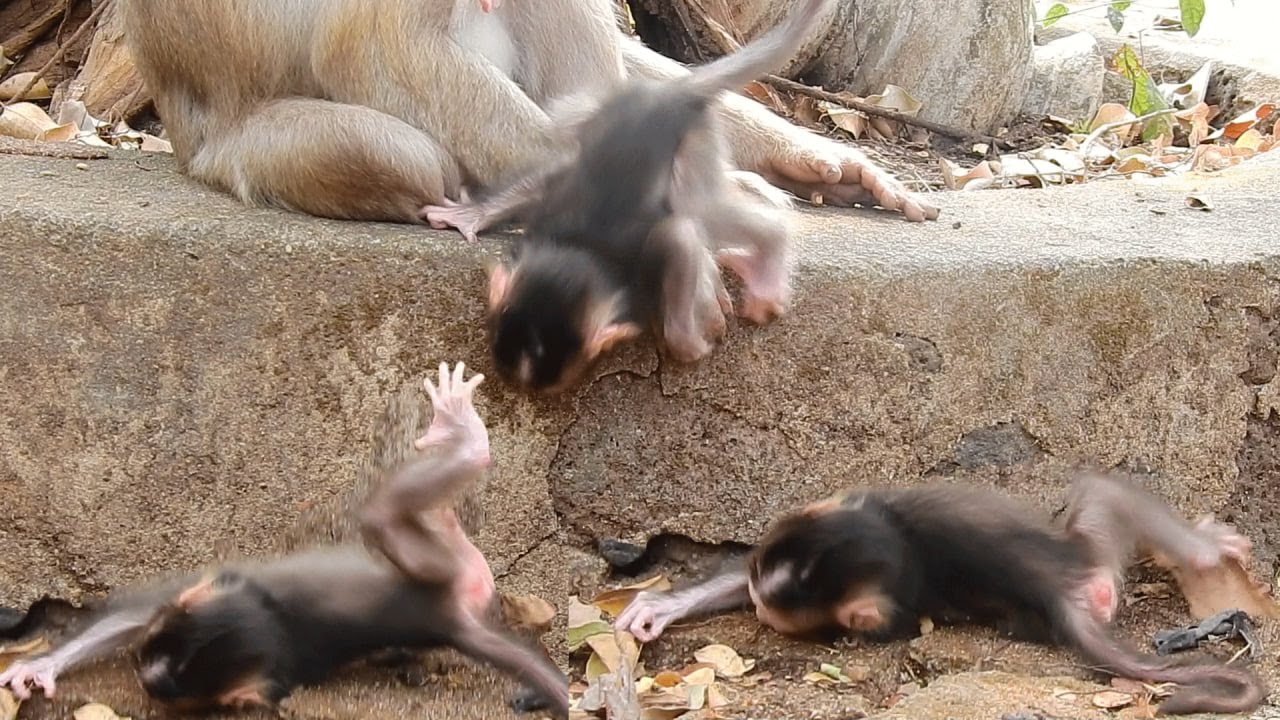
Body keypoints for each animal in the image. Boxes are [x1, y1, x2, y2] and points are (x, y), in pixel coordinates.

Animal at [0, 363, 568, 717]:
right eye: (144, 664)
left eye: (152, 678)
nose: (143, 673)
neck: (275, 621)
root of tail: (444, 617)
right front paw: (40, 666)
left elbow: (138, 613)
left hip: (435, 561)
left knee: (380, 514)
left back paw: (465, 438)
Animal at [421, 0, 832, 393]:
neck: (575, 249)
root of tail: (674, 94)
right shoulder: (553, 207)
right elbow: (553, 174)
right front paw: (471, 214)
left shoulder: (641, 259)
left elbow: (678, 237)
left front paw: (689, 345)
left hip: (696, 145)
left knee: (702, 208)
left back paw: (770, 254)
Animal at [614, 475, 1267, 716]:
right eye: (753, 600)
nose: (754, 606)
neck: (897, 542)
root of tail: (1058, 594)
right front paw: (657, 607)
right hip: (1091, 553)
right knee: (1104, 488)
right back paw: (1206, 549)